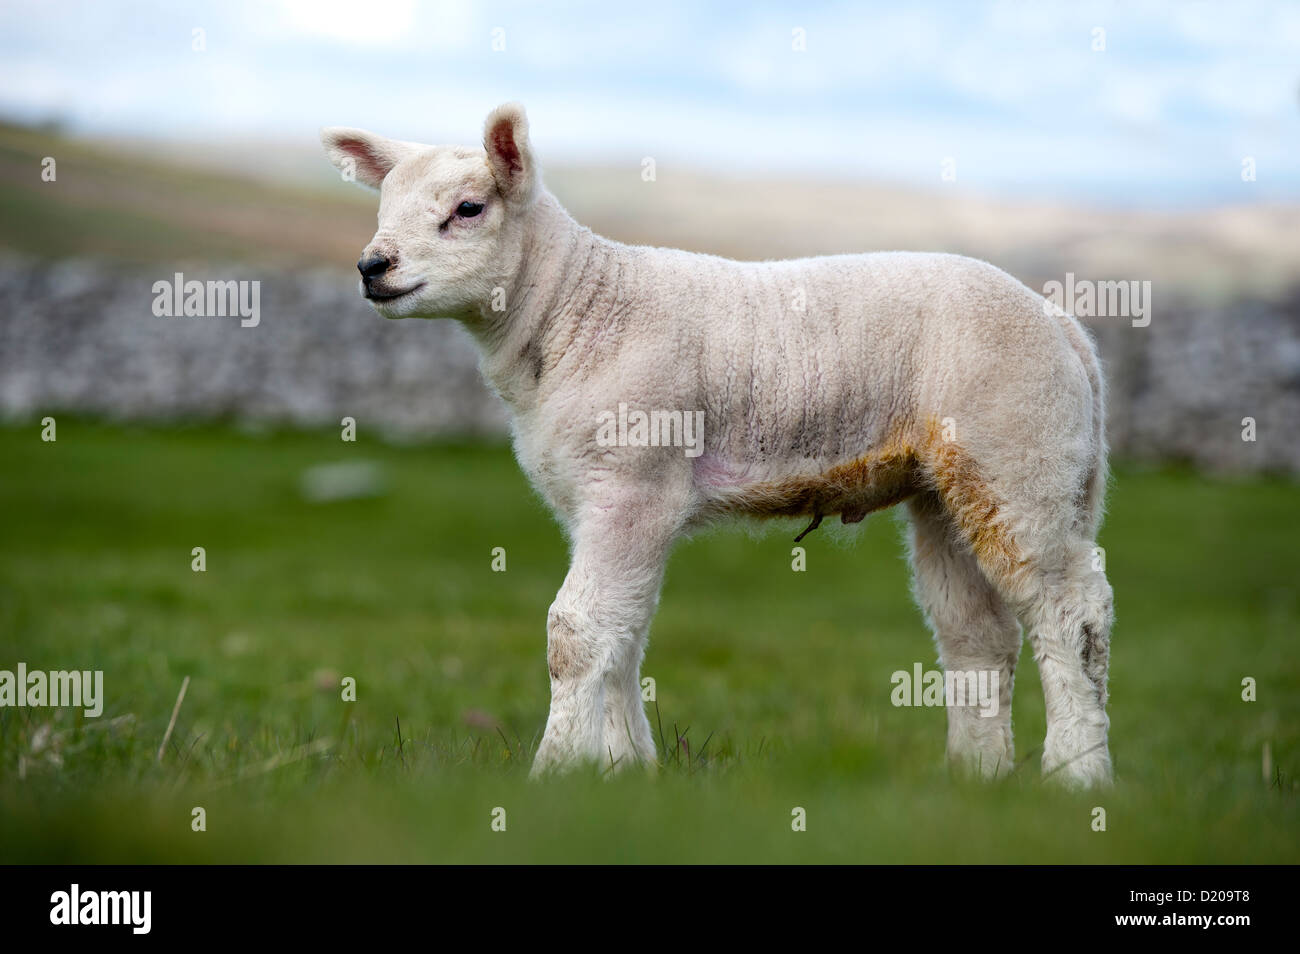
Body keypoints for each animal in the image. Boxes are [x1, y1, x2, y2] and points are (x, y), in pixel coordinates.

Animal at [321, 103, 1115, 787]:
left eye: (468, 209)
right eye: (383, 208)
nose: (372, 267)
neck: (575, 308)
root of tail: (1064, 328)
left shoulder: (632, 484)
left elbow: (577, 633)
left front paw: (553, 773)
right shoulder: (604, 499)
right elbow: (623, 634)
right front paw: (625, 771)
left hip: (1020, 457)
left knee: (1071, 611)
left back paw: (1076, 774)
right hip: (947, 484)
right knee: (977, 634)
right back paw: (979, 777)